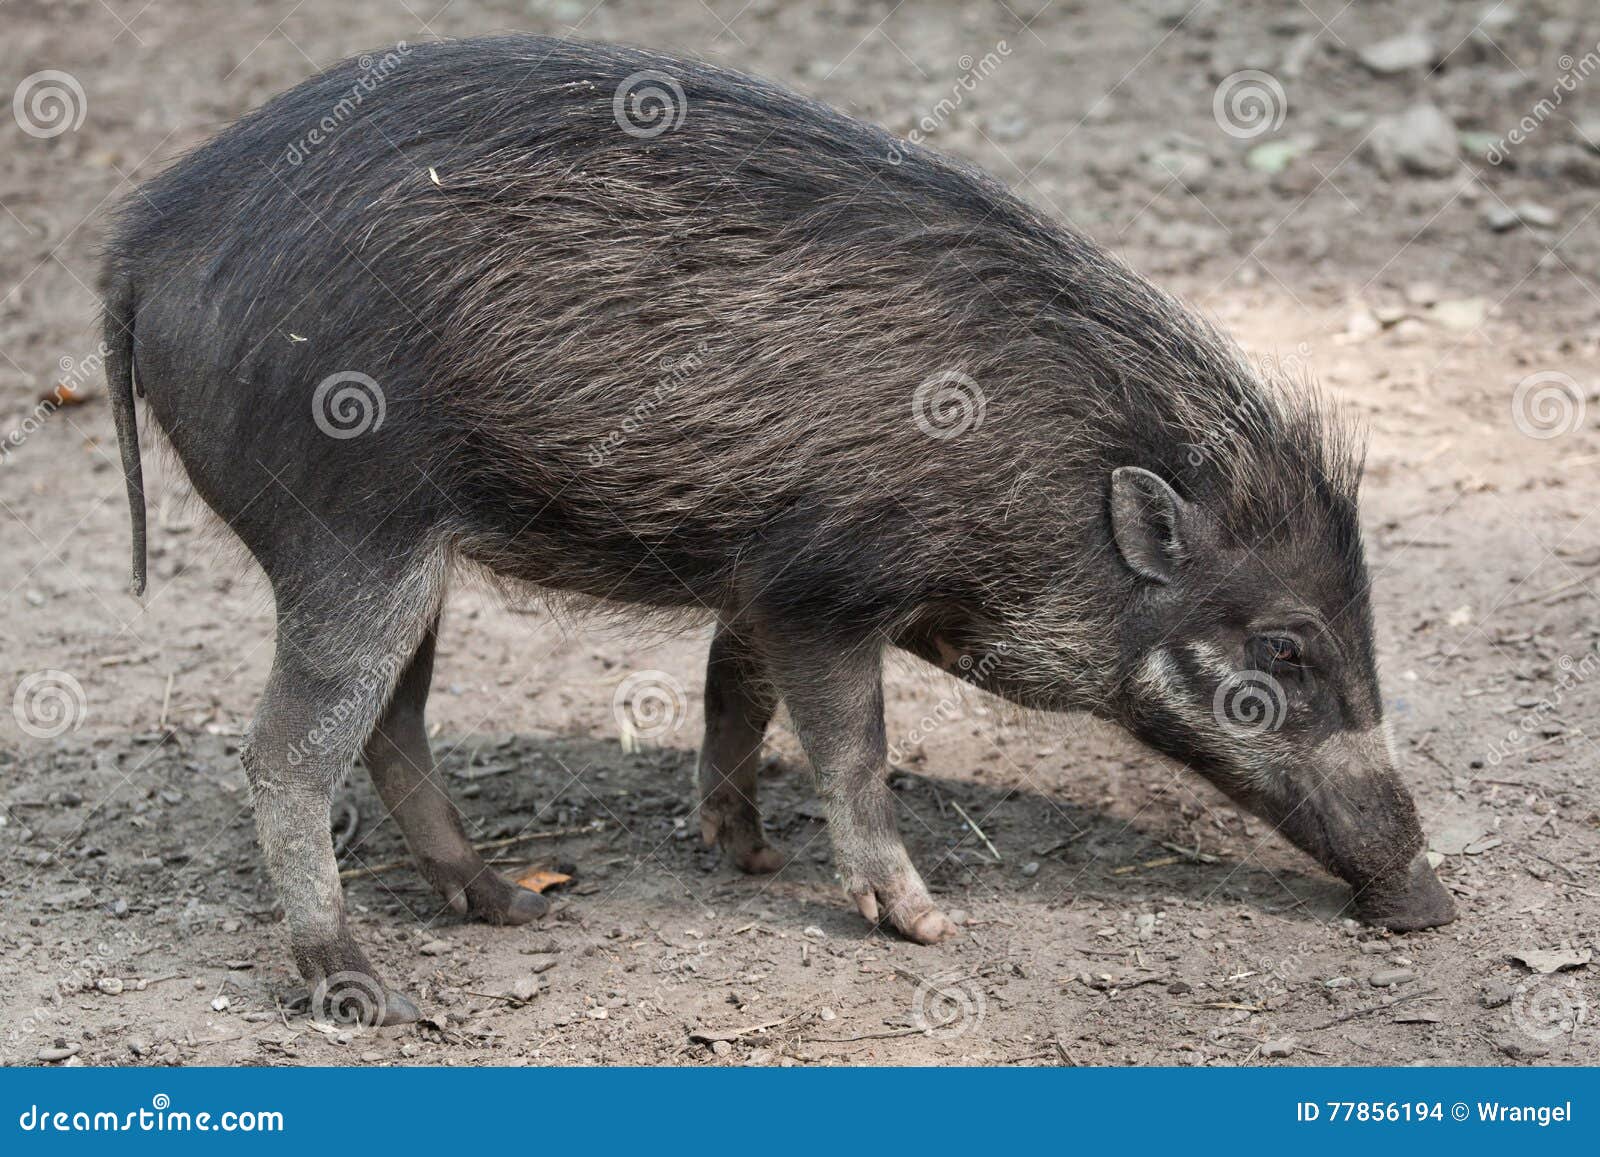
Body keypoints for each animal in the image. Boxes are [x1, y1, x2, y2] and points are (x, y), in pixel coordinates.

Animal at [101, 35, 1456, 1025]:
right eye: (1283, 647)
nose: (1429, 903)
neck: (1036, 476)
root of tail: (145, 237)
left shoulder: (756, 580)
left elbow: (731, 697)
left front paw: (742, 854)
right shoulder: (824, 588)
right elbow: (850, 750)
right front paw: (923, 923)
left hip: (412, 557)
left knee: (392, 726)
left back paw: (516, 906)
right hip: (350, 534)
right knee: (287, 749)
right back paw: (365, 988)